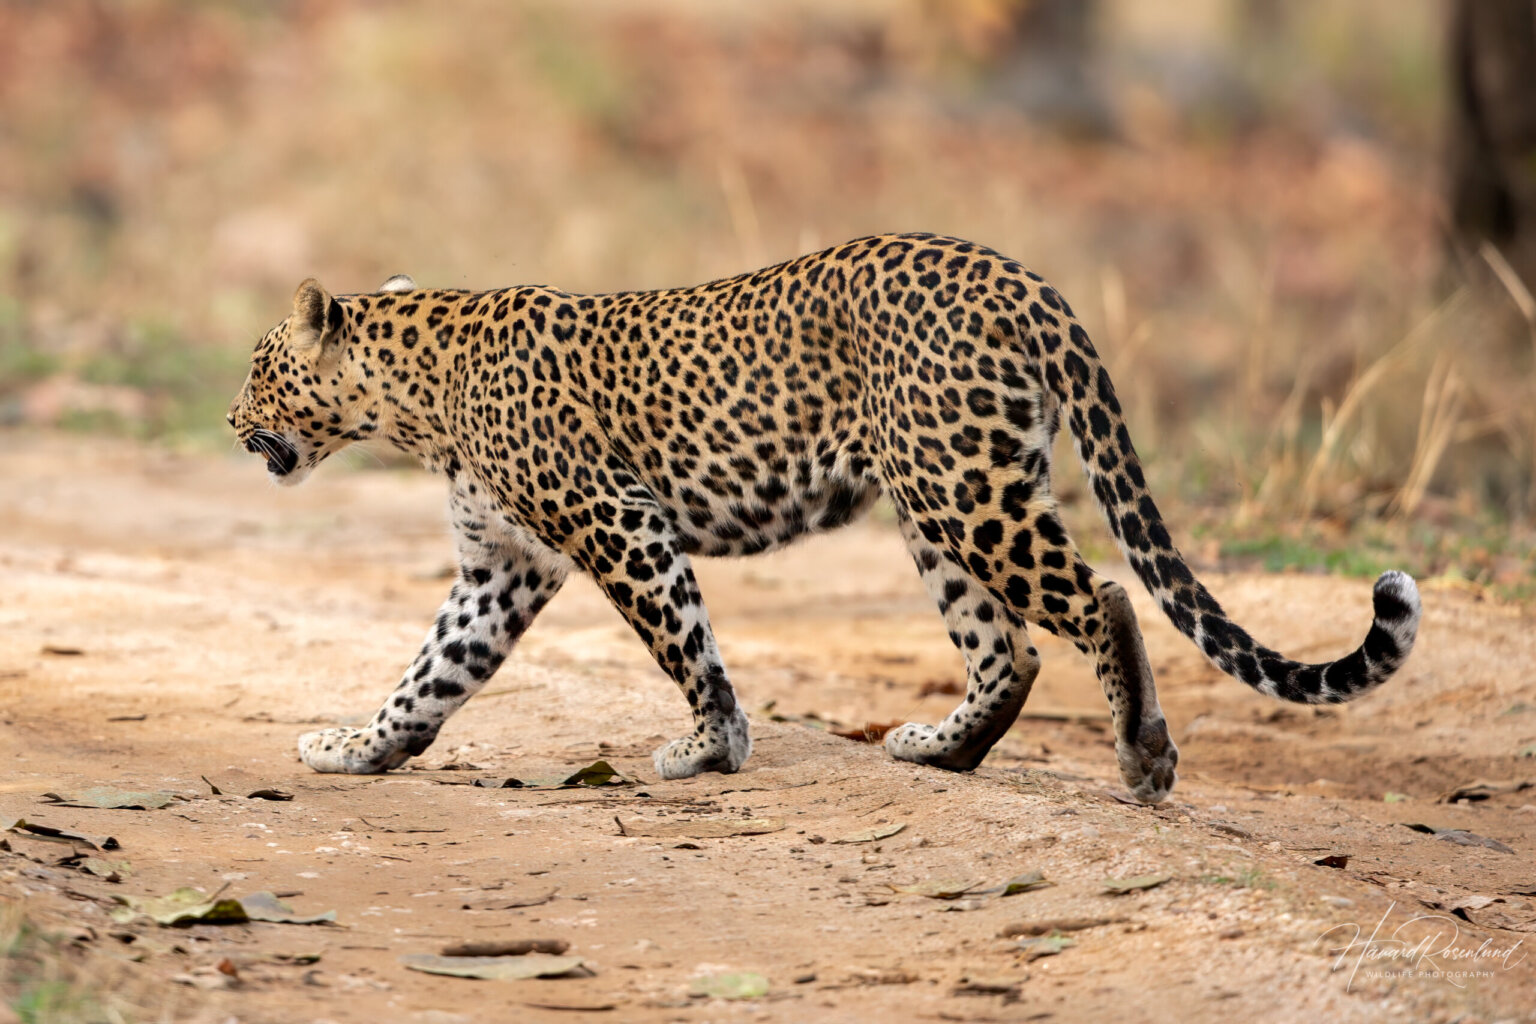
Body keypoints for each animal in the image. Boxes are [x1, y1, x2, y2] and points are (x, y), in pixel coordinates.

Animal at [227, 233, 1422, 804]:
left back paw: (1143, 757)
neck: (414, 397)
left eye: (258, 368)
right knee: (1011, 649)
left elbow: (685, 641)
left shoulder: (617, 522)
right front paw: (358, 748)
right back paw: (940, 751)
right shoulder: (503, 567)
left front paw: (710, 747)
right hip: (940, 496)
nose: (234, 422)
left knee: (1100, 597)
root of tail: (1025, 279)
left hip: (961, 487)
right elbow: (430, 673)